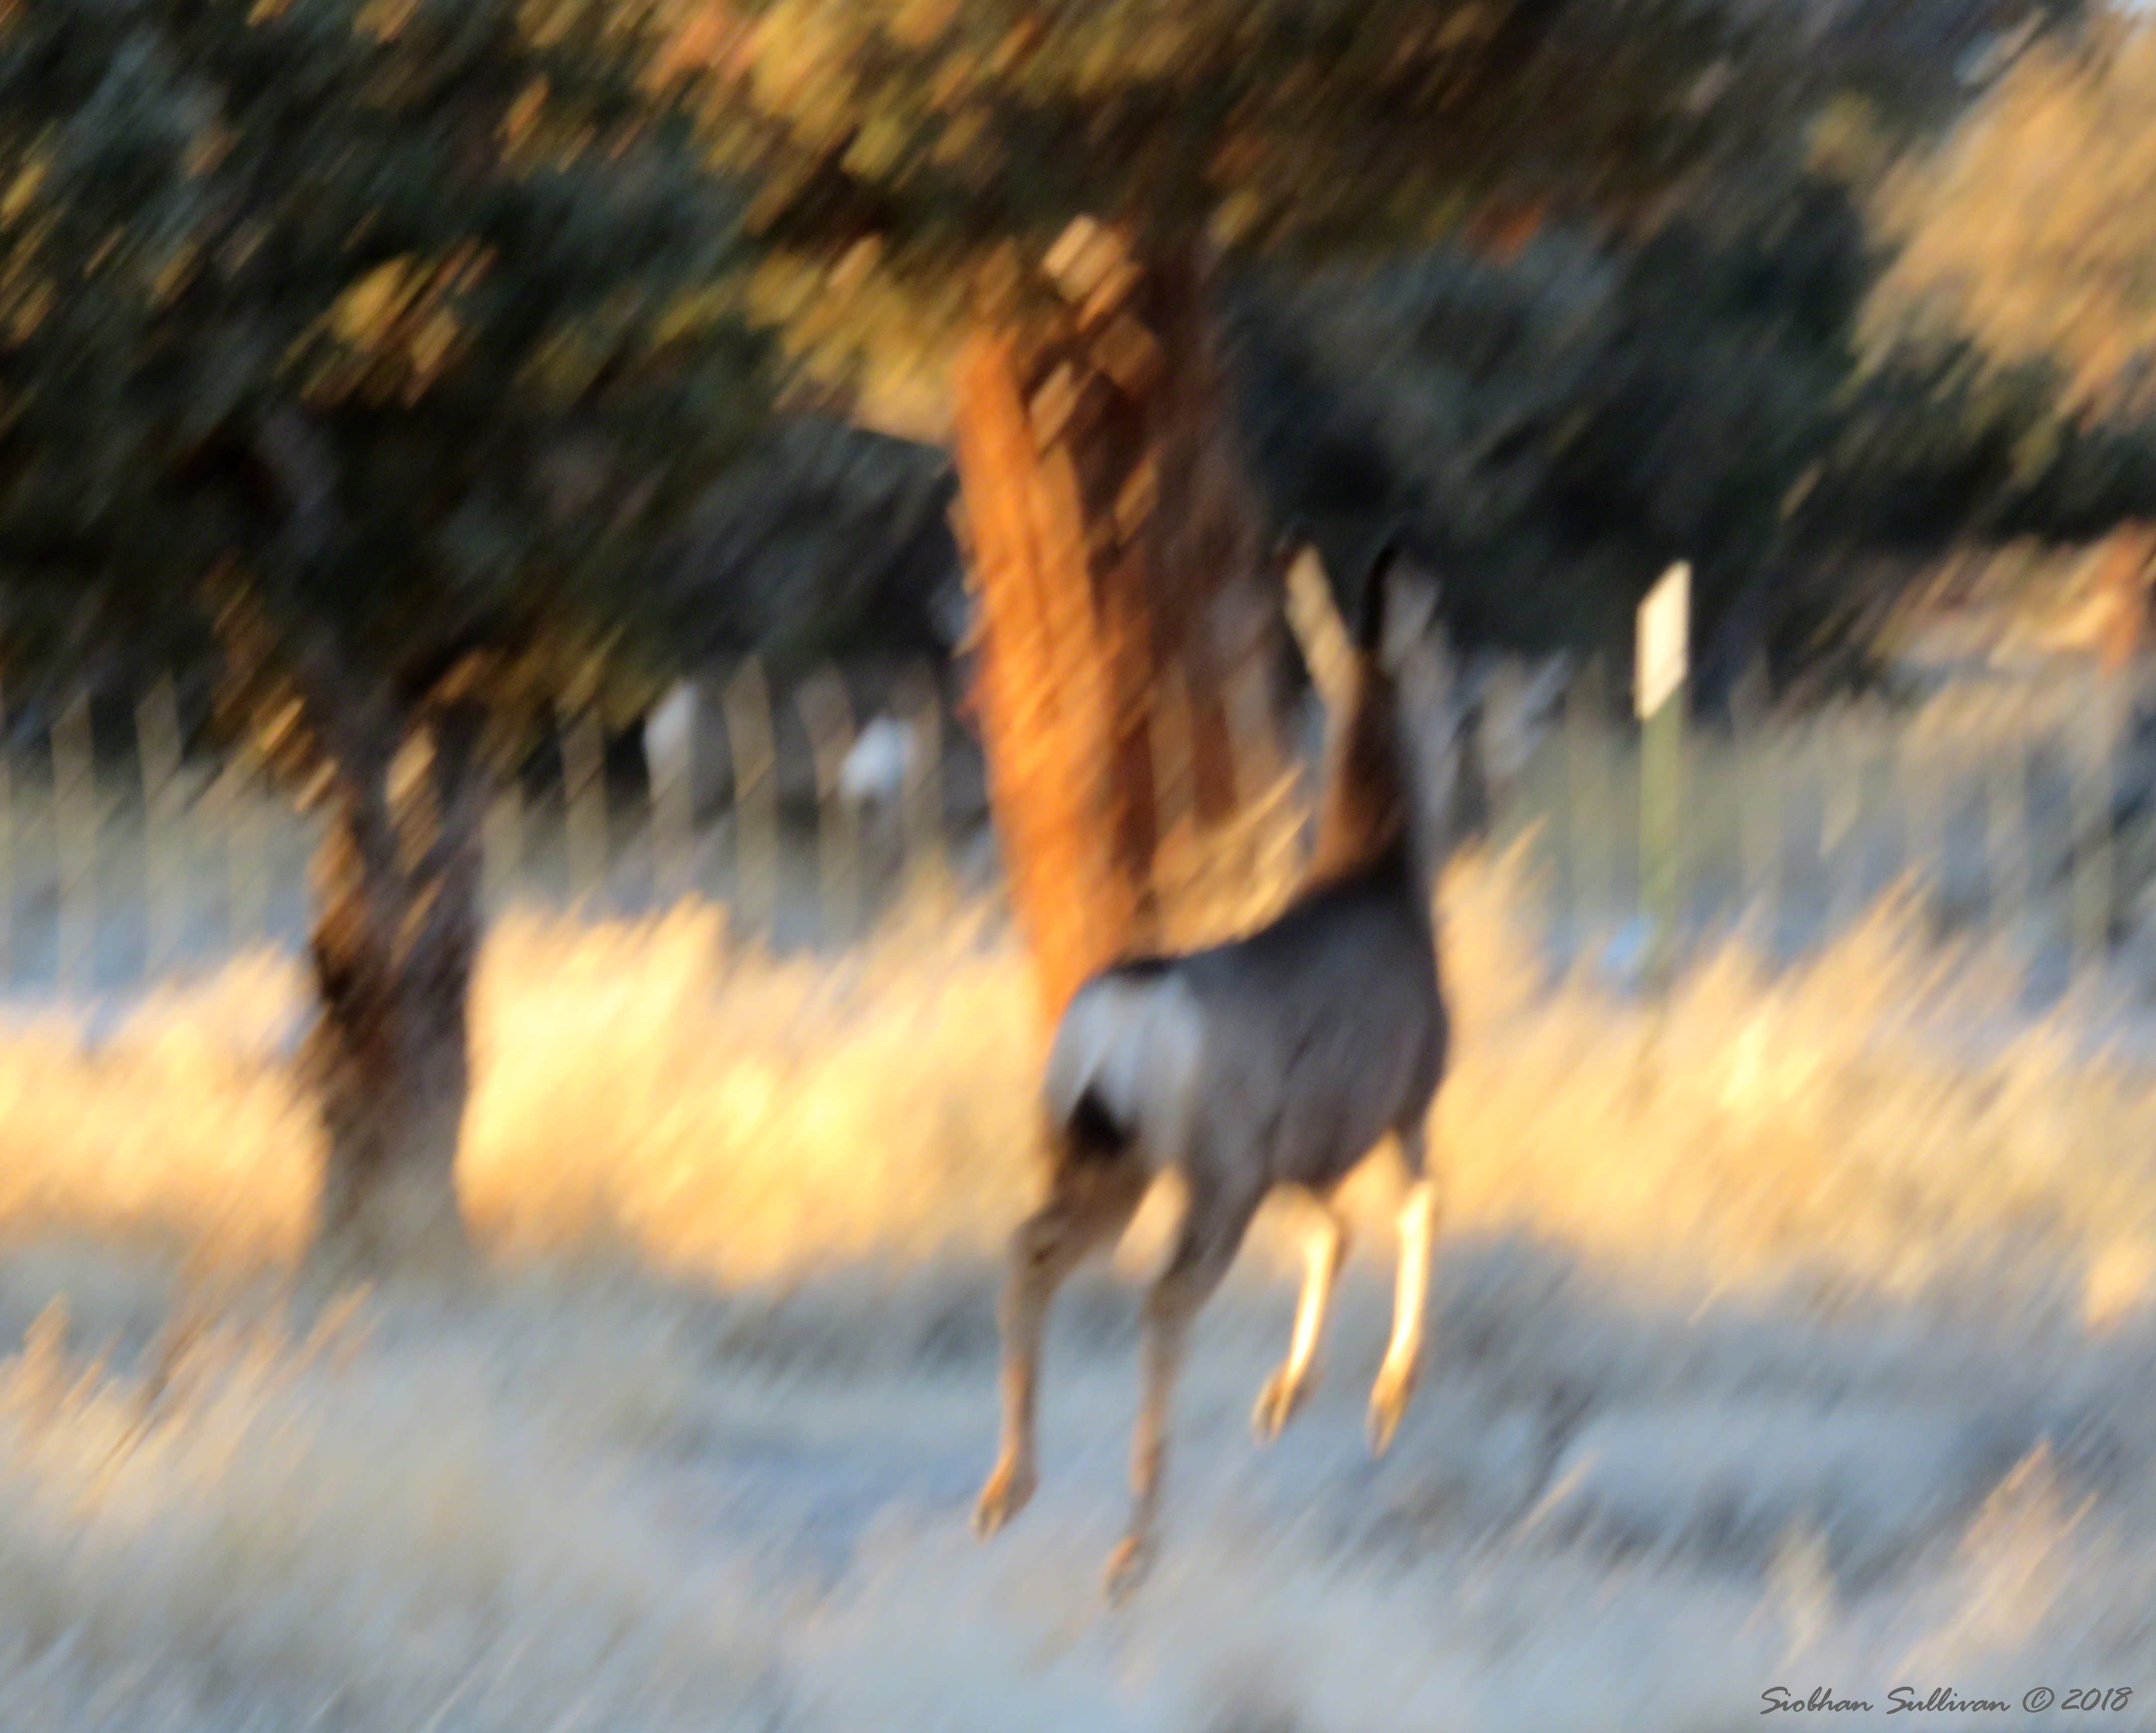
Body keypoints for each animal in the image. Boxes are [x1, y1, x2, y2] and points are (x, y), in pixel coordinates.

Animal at [971, 534, 1465, 1602]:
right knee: (1161, 1301)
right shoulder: (1405, 1100)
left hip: (1102, 1155)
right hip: (1208, 1169)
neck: (1385, 875)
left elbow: (1333, 1233)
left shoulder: (1302, 1150)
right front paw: (1388, 1396)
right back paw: (1131, 1548)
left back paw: (1005, 1490)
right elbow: (1417, 1211)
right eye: (1441, 663)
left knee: (1029, 1252)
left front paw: (1285, 1396)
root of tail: (1121, 1017)